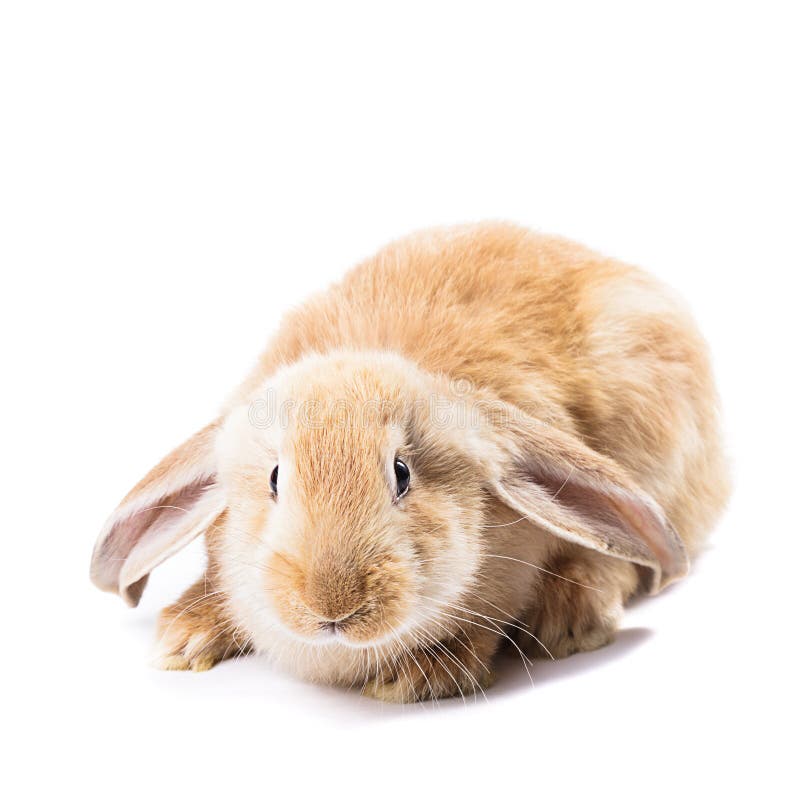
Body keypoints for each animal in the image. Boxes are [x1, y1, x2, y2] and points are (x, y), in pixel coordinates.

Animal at [90, 222, 729, 702]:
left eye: (401, 474)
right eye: (275, 479)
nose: (332, 605)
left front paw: (421, 674)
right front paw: (183, 638)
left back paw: (571, 619)